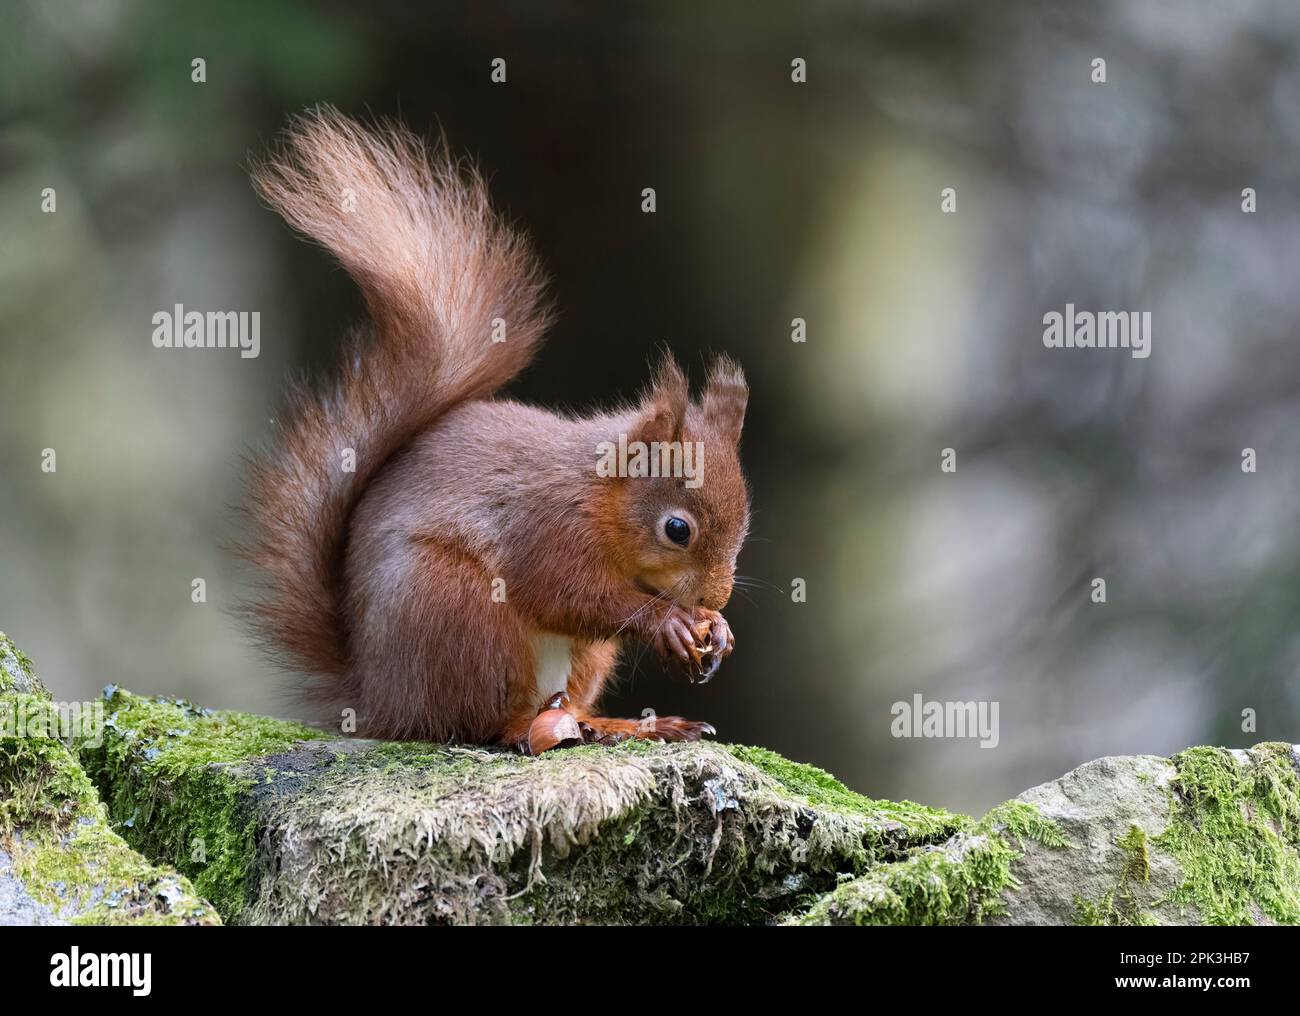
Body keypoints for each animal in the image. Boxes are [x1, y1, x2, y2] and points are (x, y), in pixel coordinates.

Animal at [241, 108, 750, 753]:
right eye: (677, 529)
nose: (714, 597)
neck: (602, 494)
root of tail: (376, 699)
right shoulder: (546, 527)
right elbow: (569, 595)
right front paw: (671, 621)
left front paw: (717, 629)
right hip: (456, 610)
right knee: (469, 720)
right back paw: (525, 728)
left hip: (578, 659)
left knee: (564, 701)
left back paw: (619, 724)